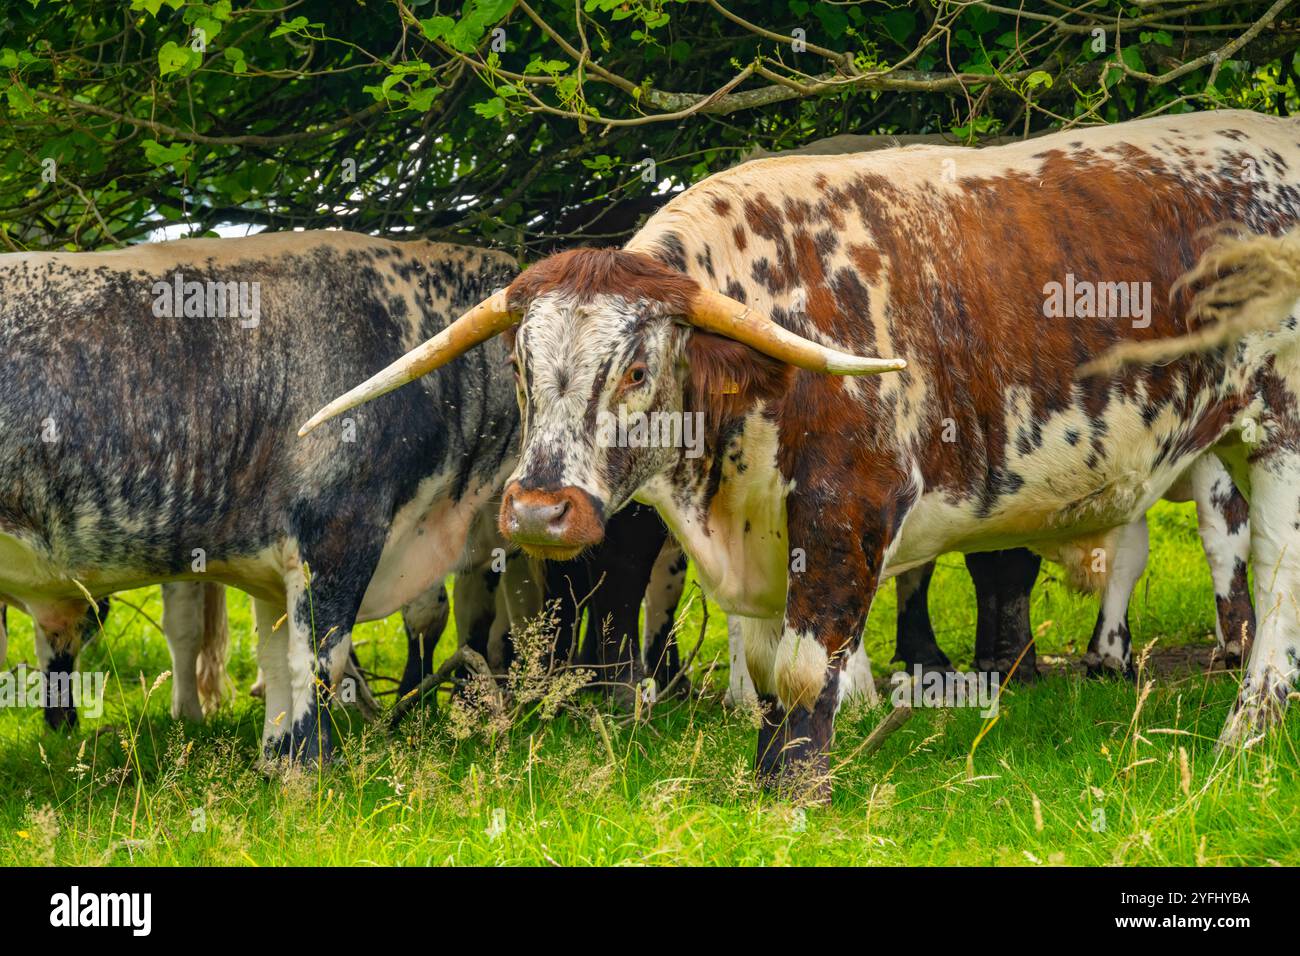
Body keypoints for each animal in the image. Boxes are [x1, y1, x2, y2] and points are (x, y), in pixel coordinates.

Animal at [0, 232, 526, 762]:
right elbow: (318, 660)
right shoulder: (337, 534)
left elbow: (277, 660)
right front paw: (313, 763)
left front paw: (277, 759)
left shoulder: (277, 565)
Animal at [301, 110, 1300, 796]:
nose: (542, 511)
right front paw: (766, 768)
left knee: (1274, 571)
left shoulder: (850, 506)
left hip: (1279, 428)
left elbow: (805, 663)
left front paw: (794, 791)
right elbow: (762, 661)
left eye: (636, 369)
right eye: (517, 366)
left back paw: (1248, 729)